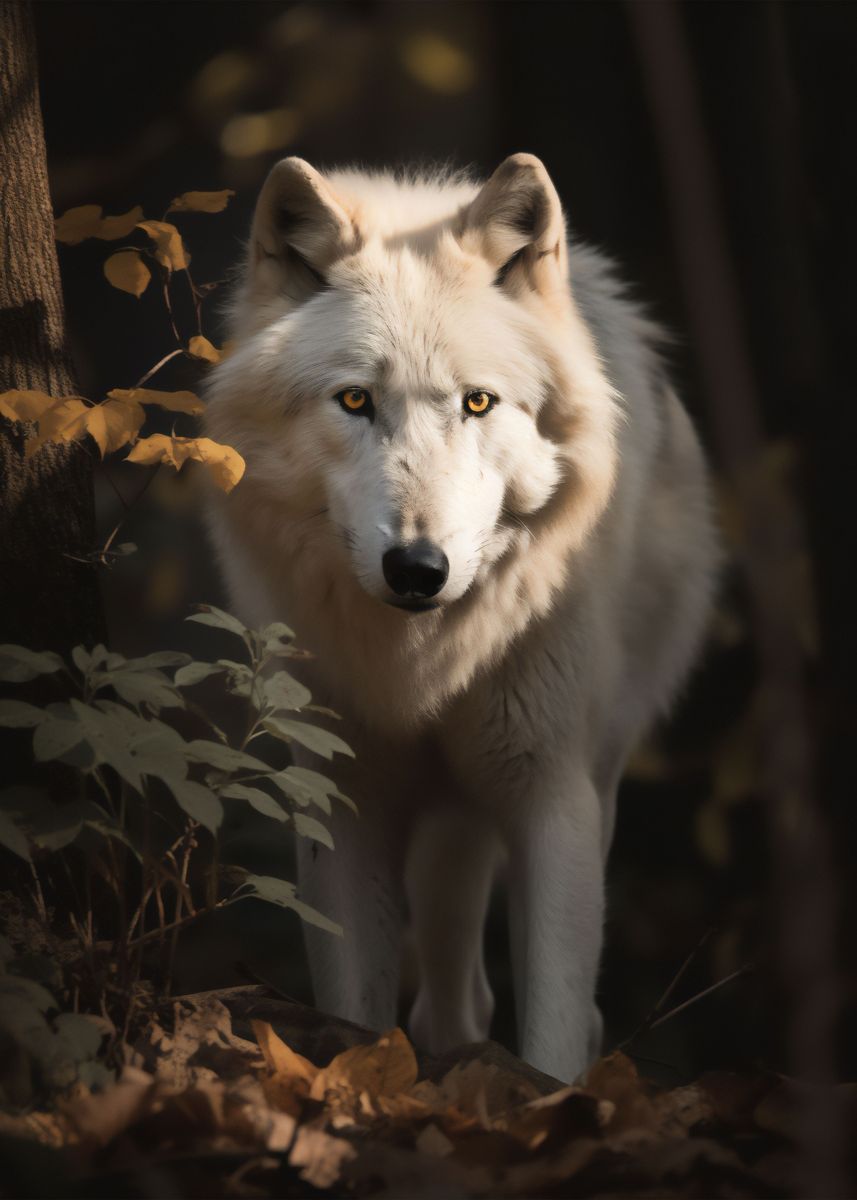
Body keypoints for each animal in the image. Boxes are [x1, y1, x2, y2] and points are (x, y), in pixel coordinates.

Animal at [204, 153, 717, 1082]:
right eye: (355, 401)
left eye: (478, 403)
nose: (417, 568)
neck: (423, 668)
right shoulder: (340, 802)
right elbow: (353, 1008)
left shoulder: (552, 797)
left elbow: (555, 1029)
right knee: (453, 1003)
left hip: (583, 775)